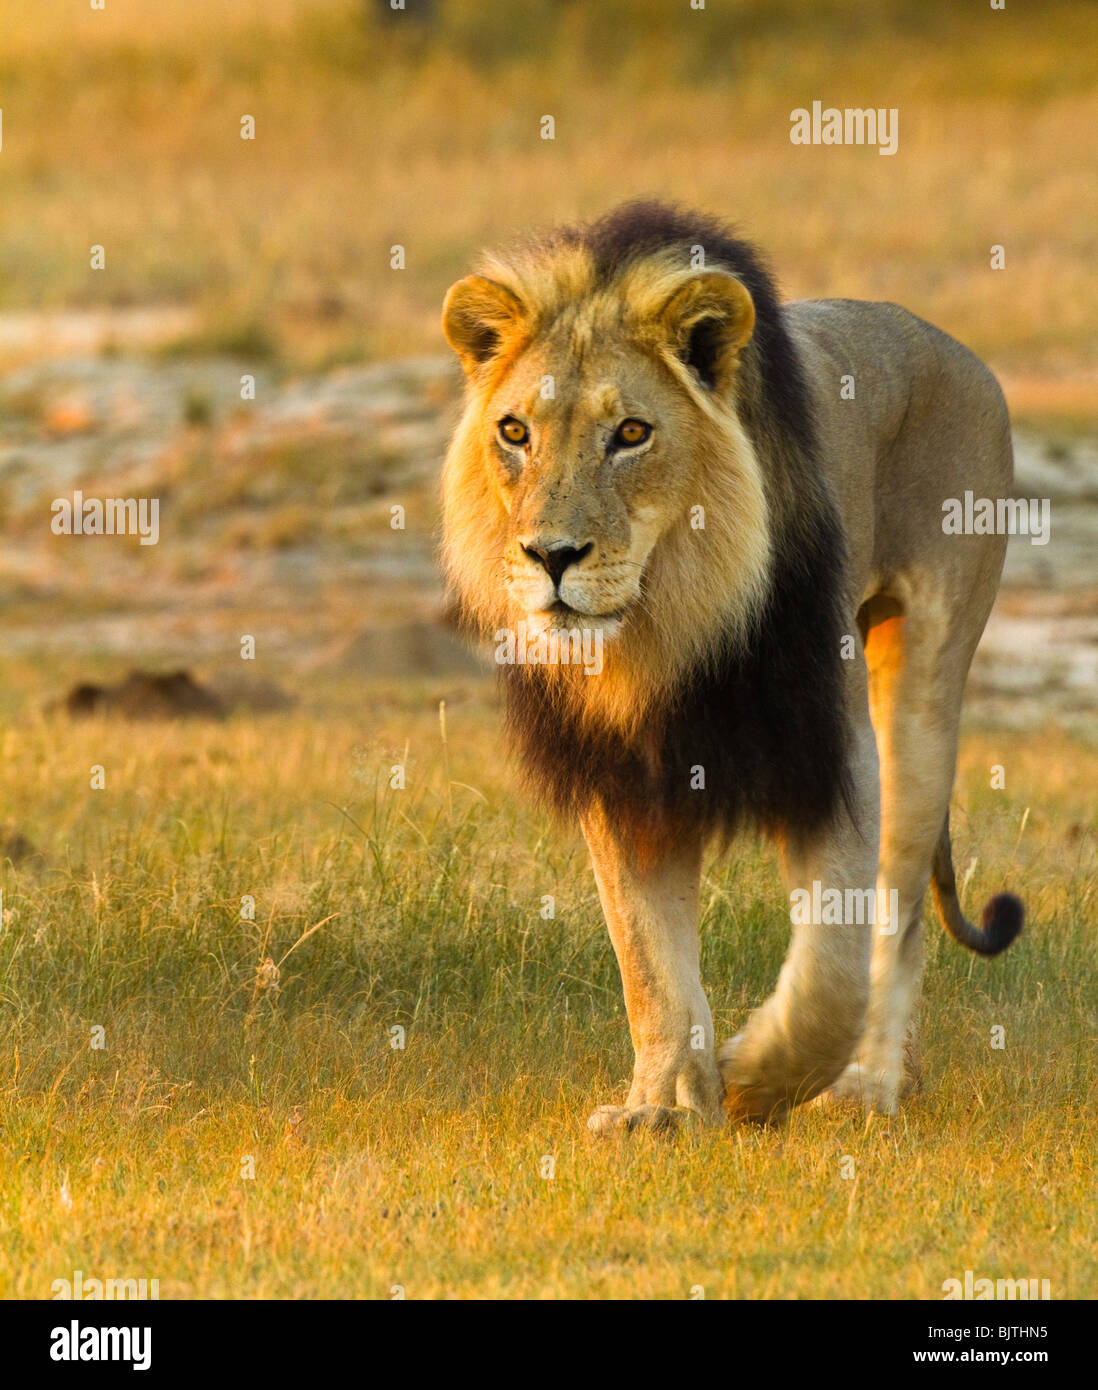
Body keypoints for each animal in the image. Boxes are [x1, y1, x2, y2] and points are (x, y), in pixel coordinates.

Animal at [440, 200, 1023, 1130]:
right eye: (514, 432)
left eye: (631, 434)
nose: (551, 556)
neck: (666, 627)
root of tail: (948, 343)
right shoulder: (620, 778)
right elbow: (649, 961)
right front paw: (659, 1107)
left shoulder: (831, 753)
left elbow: (830, 967)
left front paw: (755, 1081)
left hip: (923, 684)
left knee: (898, 907)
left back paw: (870, 1084)